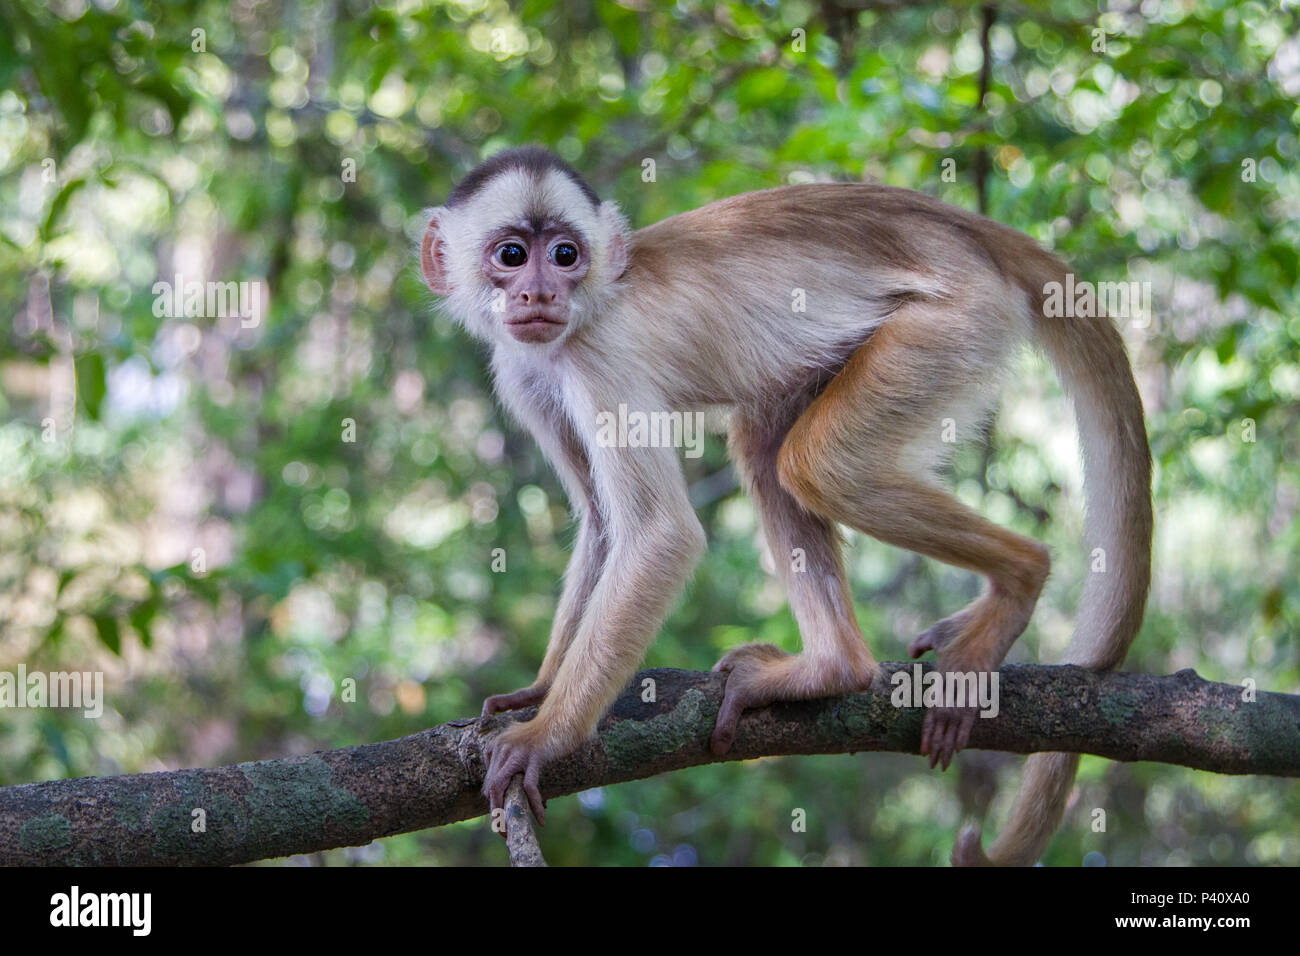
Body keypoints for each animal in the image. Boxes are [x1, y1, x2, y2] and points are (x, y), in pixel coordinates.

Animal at [419, 145, 1152, 866]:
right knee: (767, 444)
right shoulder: (523, 371)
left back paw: (1019, 578)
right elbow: (602, 524)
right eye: (513, 254)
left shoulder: (598, 358)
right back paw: (836, 667)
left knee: (816, 466)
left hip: (955, 322)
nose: (539, 291)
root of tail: (964, 229)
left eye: (565, 254)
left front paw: (546, 735)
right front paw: (541, 692)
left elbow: (658, 536)